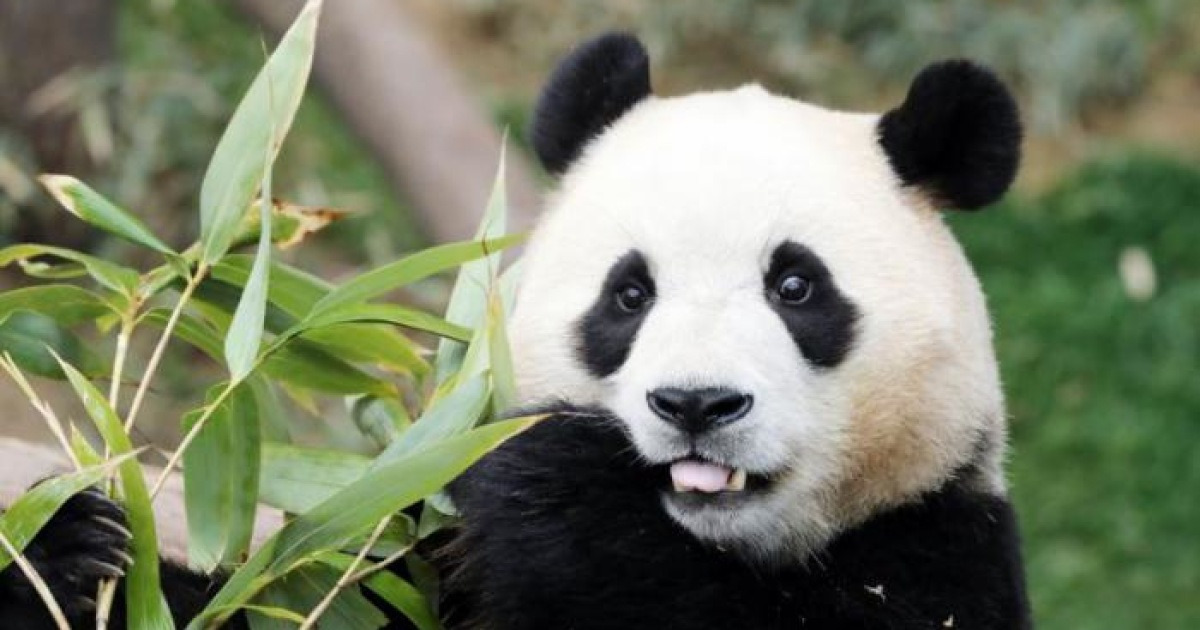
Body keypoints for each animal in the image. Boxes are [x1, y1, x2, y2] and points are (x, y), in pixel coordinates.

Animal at [1, 32, 1031, 630]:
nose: (696, 405)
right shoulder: (429, 566)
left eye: (795, 286)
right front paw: (71, 549)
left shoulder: (940, 545)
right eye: (628, 296)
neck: (719, 543)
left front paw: (557, 480)